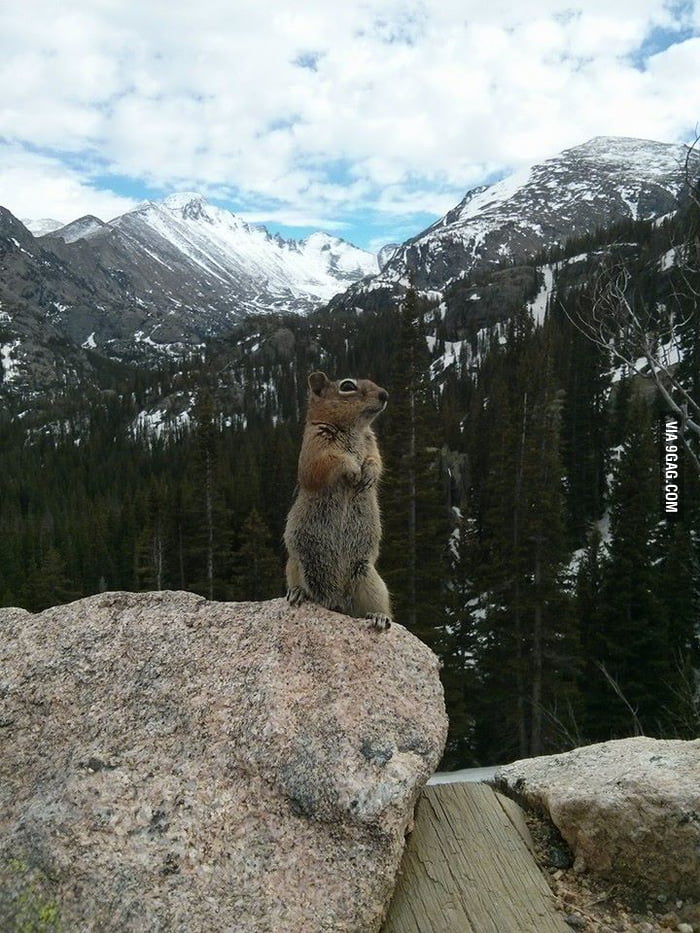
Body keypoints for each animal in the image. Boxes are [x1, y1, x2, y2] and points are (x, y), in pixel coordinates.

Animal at [284, 371, 392, 631]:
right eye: (348, 386)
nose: (385, 394)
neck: (353, 429)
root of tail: (335, 601)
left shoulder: (372, 442)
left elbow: (376, 460)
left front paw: (368, 475)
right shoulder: (315, 445)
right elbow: (328, 462)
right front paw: (352, 470)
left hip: (369, 578)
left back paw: (379, 617)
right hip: (295, 562)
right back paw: (298, 593)